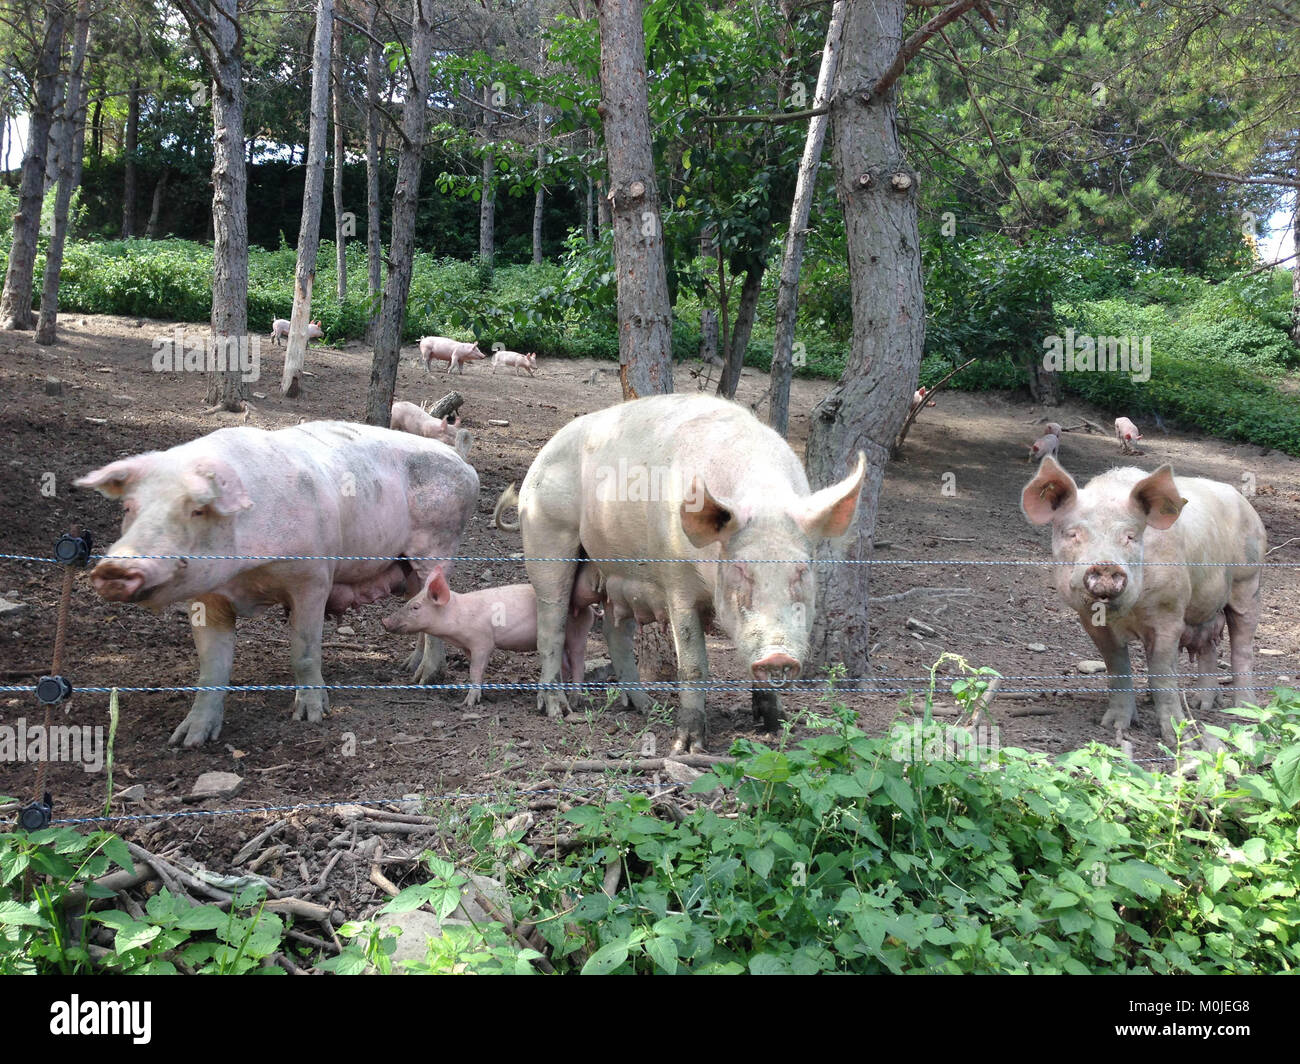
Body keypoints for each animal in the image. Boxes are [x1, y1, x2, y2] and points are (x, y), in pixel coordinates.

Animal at [76, 421, 479, 746]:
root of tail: (461, 461)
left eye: (196, 509)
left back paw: (424, 679)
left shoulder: (313, 578)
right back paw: (407, 668)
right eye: (129, 507)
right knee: (418, 607)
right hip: (404, 564)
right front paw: (187, 739)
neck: (246, 576)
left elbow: (304, 651)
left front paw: (311, 717)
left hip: (435, 546)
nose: (114, 569)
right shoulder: (208, 597)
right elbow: (212, 666)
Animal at [381, 564, 601, 706]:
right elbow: (474, 669)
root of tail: (589, 610)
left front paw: (468, 703)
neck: (457, 617)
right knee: (564, 663)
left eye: (415, 607)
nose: (385, 621)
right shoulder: (467, 647)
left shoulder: (482, 641)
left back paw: (575, 700)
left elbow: (475, 669)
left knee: (579, 662)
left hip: (578, 634)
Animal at [519, 393, 867, 754]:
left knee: (616, 634)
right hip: (547, 535)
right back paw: (557, 709)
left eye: (801, 569)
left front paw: (775, 728)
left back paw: (644, 707)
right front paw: (686, 747)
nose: (777, 655)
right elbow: (693, 663)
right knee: (551, 623)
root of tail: (544, 451)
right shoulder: (677, 584)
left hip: (615, 572)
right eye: (741, 569)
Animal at [1021, 456, 1265, 748]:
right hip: (1206, 607)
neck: (1128, 613)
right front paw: (1114, 726)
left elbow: (1162, 673)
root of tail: (1245, 503)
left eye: (1130, 536)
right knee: (1209, 647)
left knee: (1242, 646)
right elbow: (1117, 667)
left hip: (1249, 580)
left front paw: (1180, 740)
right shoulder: (1091, 622)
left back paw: (1245, 711)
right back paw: (1203, 705)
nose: (1106, 566)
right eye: (1074, 534)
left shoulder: (1169, 612)